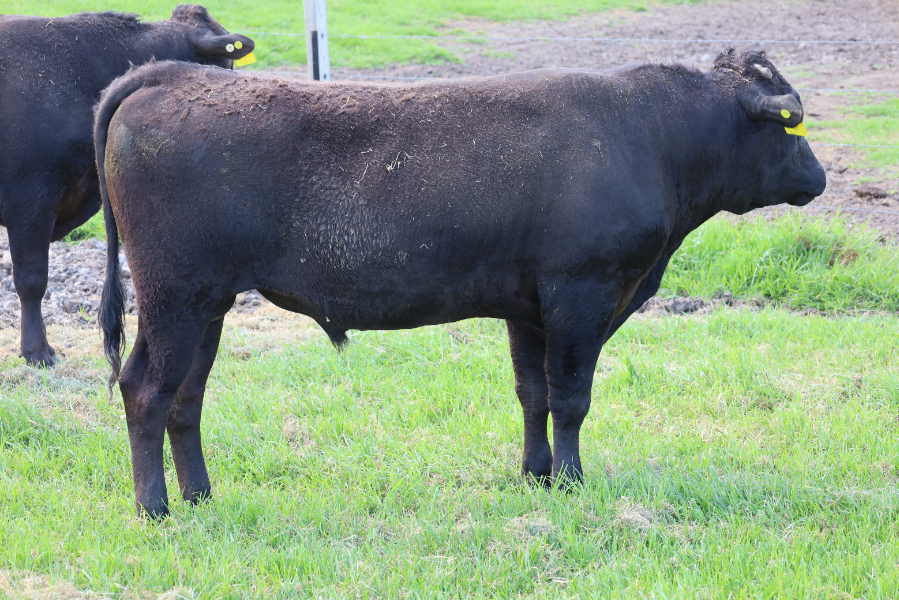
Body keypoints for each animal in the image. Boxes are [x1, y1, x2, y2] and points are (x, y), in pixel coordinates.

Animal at [94, 49, 826, 518]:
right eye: (792, 128)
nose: (818, 178)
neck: (652, 134)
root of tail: (170, 75)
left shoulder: (528, 308)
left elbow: (532, 394)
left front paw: (535, 476)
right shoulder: (580, 294)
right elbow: (571, 399)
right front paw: (571, 484)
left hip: (203, 304)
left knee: (185, 398)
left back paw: (199, 496)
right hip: (175, 296)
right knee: (148, 391)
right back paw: (156, 509)